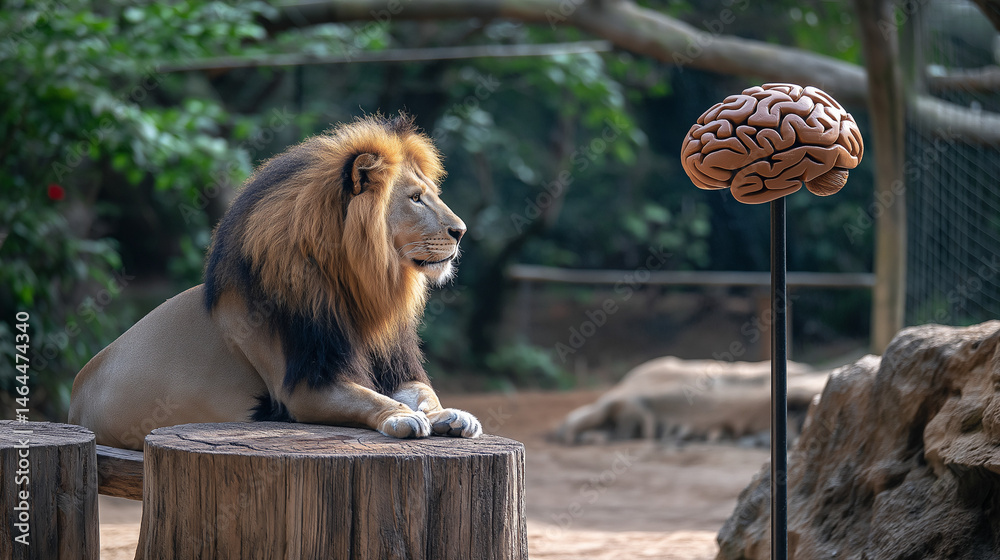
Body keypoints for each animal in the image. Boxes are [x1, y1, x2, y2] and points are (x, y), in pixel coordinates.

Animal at [69, 113, 482, 450]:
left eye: (432, 194)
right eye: (416, 198)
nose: (461, 231)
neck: (358, 286)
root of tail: (74, 400)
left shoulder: (393, 360)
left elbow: (424, 391)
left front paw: (450, 415)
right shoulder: (303, 386)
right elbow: (370, 397)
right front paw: (402, 415)